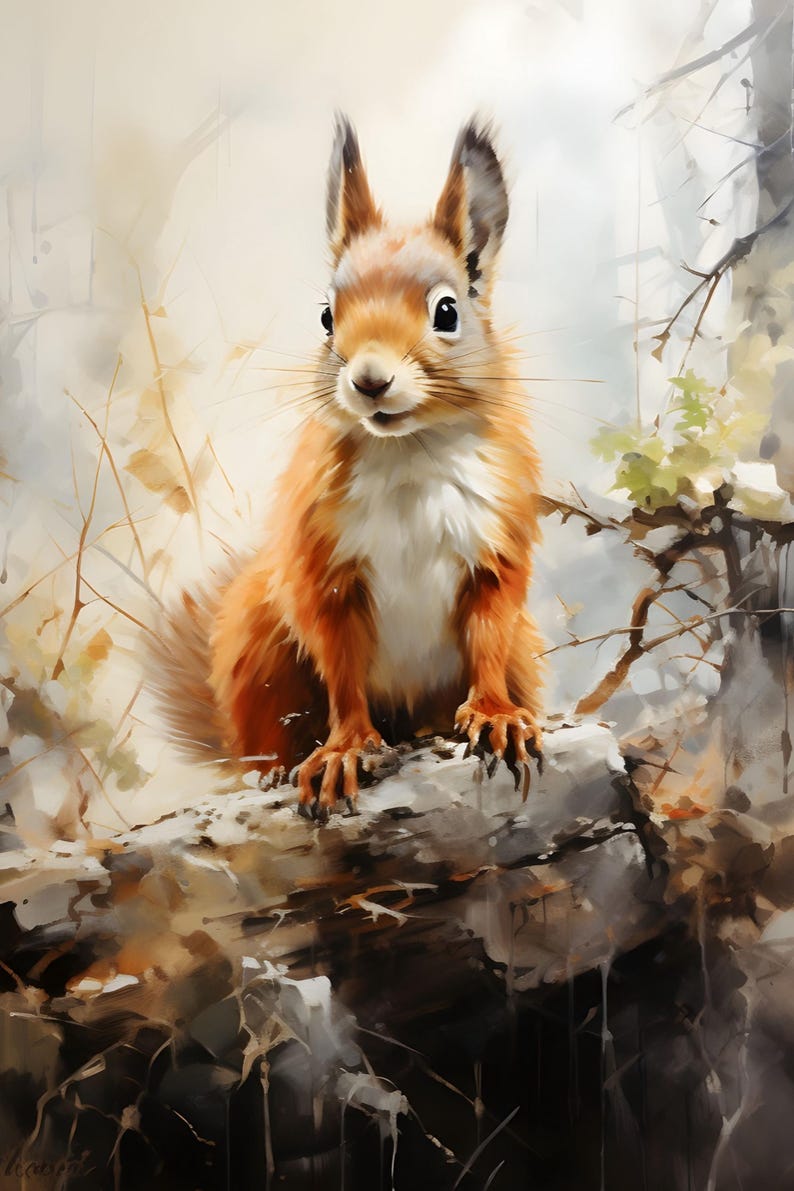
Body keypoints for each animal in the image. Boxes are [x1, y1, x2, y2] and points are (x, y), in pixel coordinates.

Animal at [158, 115, 544, 818]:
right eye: (326, 317)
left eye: (448, 311)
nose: (369, 379)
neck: (408, 453)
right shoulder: (324, 569)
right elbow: (340, 666)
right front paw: (343, 750)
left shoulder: (495, 548)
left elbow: (488, 636)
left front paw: (496, 716)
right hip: (258, 641)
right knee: (269, 738)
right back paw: (278, 770)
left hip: (525, 655)